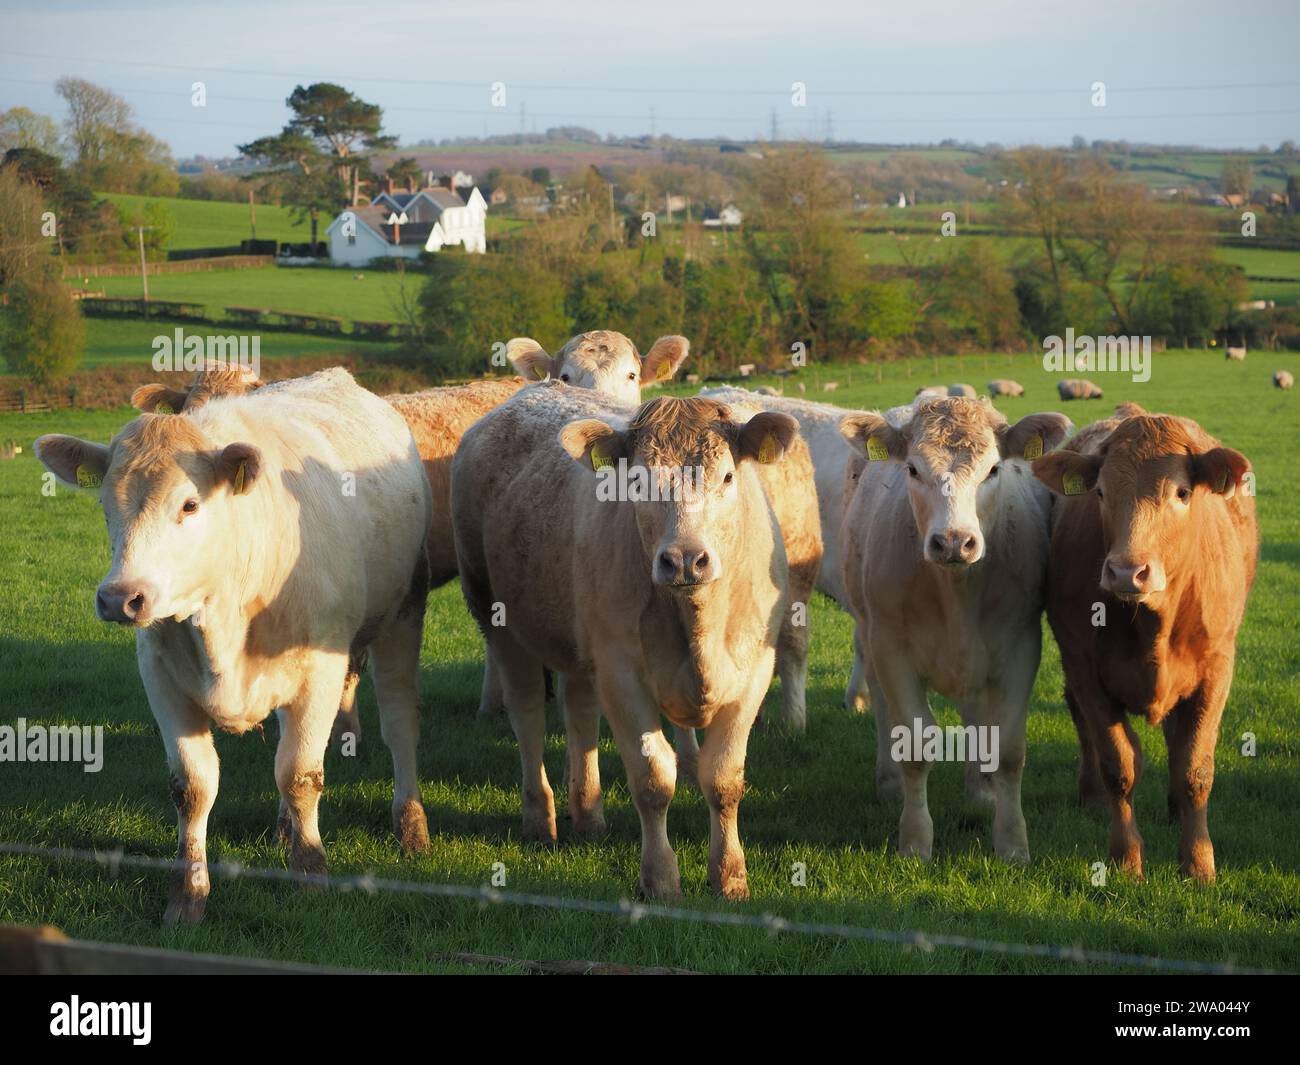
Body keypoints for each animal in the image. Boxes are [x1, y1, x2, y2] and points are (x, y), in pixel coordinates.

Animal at [34, 368, 434, 922]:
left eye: (189, 503)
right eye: (104, 505)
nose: (120, 598)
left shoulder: (320, 671)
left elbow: (301, 774)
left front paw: (310, 875)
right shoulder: (161, 677)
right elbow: (193, 786)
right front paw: (188, 894)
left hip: (402, 614)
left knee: (399, 725)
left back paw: (410, 825)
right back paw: (285, 828)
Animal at [452, 387, 796, 899]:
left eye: (728, 476)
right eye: (636, 479)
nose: (685, 560)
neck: (696, 625)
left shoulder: (753, 670)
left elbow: (723, 779)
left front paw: (730, 874)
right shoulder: (621, 672)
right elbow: (653, 782)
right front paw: (660, 878)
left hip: (581, 642)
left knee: (579, 710)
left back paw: (588, 812)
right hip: (497, 615)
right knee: (528, 714)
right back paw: (540, 818)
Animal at [839, 396, 1071, 862]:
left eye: (994, 469)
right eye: (912, 469)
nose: (952, 541)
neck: (956, 592)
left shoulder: (1021, 647)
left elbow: (1008, 749)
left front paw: (1012, 842)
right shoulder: (891, 648)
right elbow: (912, 744)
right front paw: (915, 841)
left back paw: (981, 789)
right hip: (869, 631)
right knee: (881, 706)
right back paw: (889, 782)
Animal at [1031, 403, 1257, 882]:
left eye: (1183, 492)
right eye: (1099, 492)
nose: (1125, 572)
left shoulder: (1217, 669)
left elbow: (1195, 767)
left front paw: (1198, 861)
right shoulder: (1084, 666)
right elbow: (1119, 764)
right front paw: (1126, 858)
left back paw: (1173, 809)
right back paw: (1092, 795)